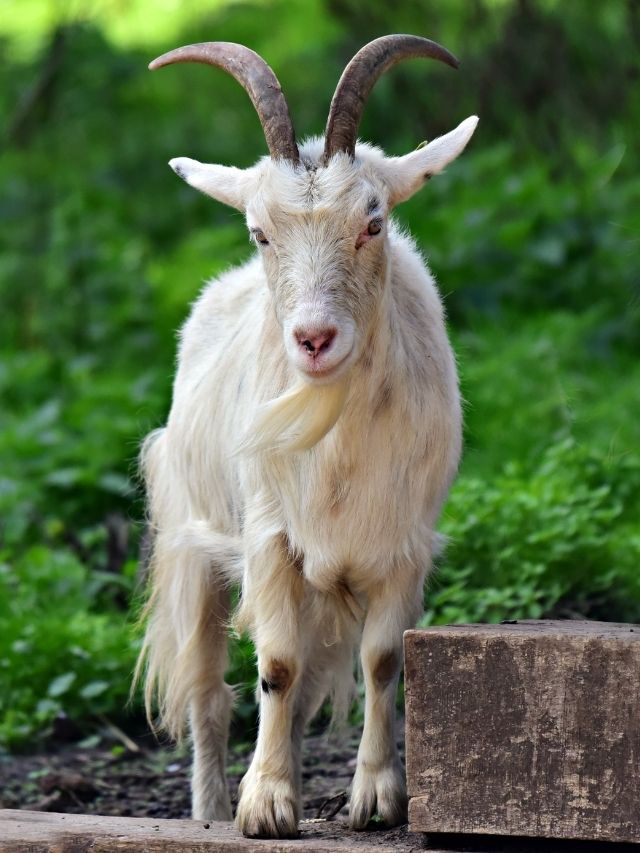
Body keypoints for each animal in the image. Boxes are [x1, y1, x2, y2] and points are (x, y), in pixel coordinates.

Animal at [136, 35, 478, 838]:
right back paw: (211, 809)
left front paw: (377, 797)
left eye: (374, 221)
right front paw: (264, 807)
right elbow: (277, 666)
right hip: (195, 538)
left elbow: (383, 660)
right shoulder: (268, 537)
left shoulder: (405, 543)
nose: (315, 340)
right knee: (211, 691)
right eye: (261, 231)